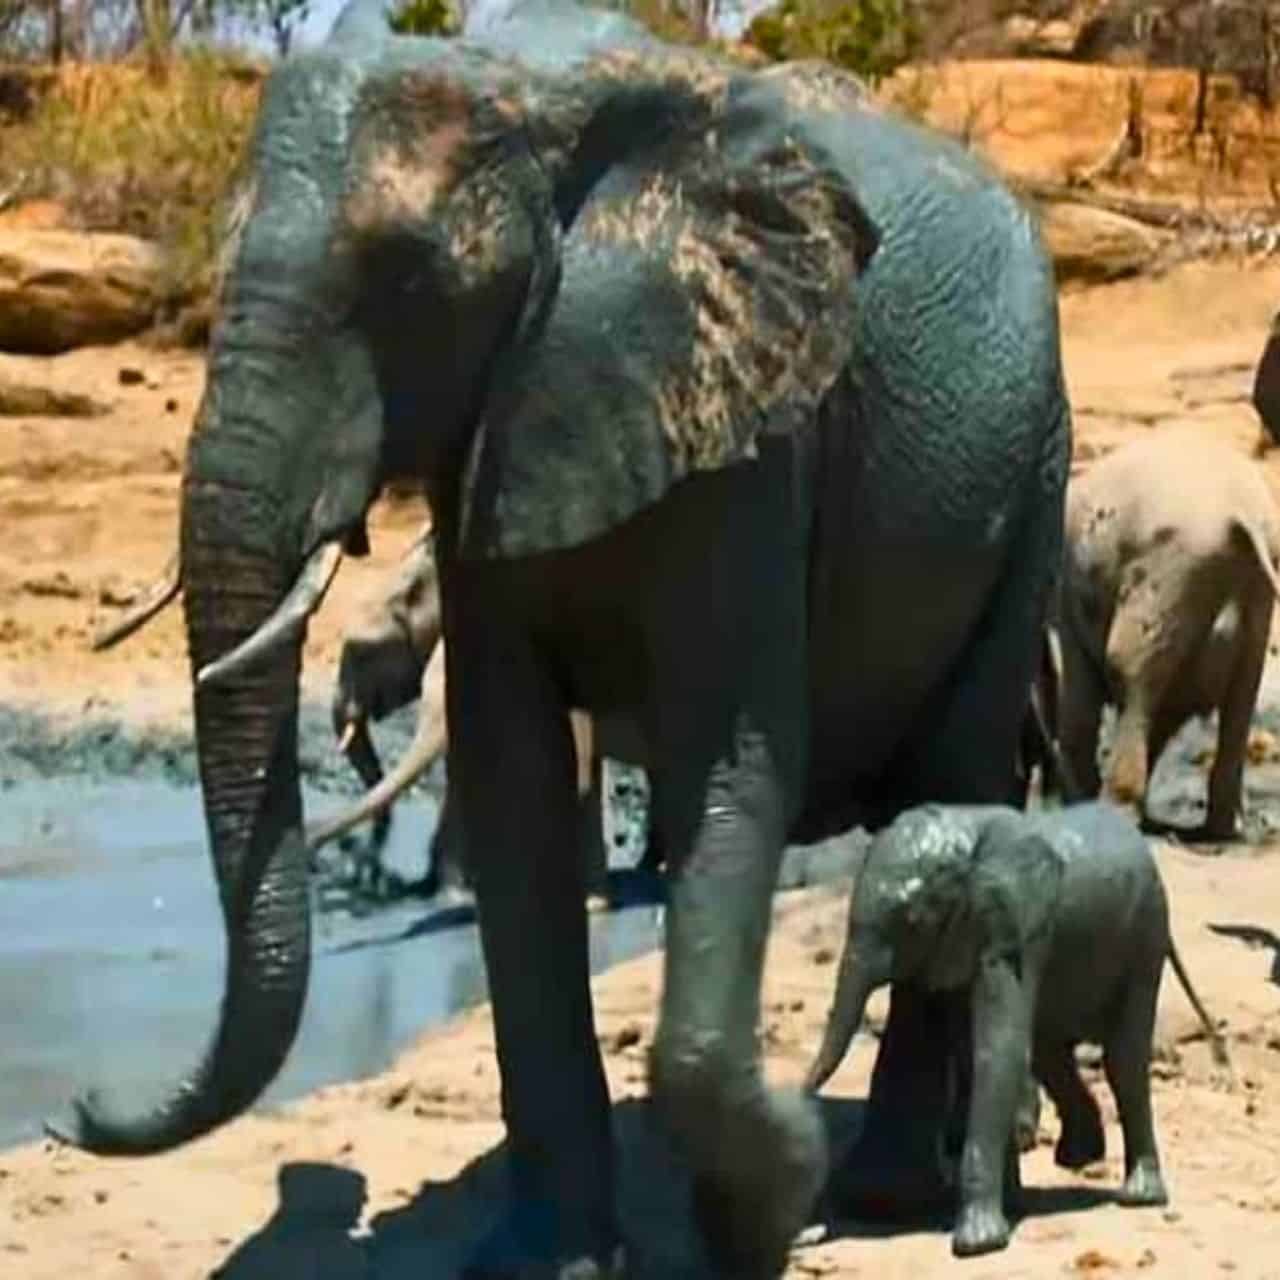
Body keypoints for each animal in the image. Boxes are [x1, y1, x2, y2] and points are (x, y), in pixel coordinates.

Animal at [806, 800, 1230, 1258]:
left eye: (913, 920)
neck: (966, 834)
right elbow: (943, 1051)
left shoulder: (1015, 933)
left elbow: (997, 1049)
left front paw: (977, 1243)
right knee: (1050, 1051)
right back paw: (1077, 1159)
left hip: (1145, 935)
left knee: (1122, 1060)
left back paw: (1138, 1196)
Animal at [1045, 429, 1280, 841]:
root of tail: (1243, 515)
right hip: (1250, 595)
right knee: (1241, 696)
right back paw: (1220, 829)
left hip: (1170, 567)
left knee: (1128, 666)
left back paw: (1116, 812)